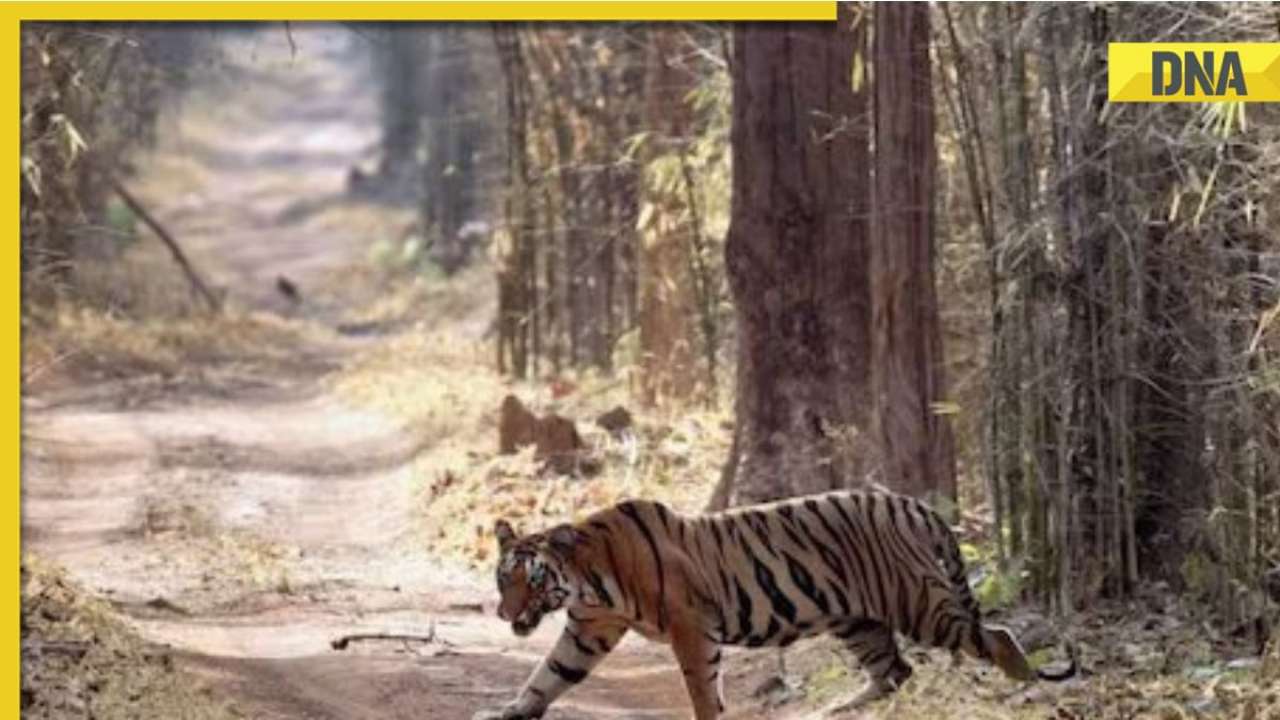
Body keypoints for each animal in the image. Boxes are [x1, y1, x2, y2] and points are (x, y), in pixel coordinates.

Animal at [474, 489, 1076, 720]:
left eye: (530, 579)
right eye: (503, 579)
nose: (504, 614)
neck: (586, 579)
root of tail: (914, 503)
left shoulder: (691, 627)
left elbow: (701, 688)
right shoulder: (587, 629)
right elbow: (547, 676)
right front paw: (508, 711)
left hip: (919, 604)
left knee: (994, 637)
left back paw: (1025, 685)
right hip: (858, 619)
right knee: (894, 671)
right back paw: (836, 708)